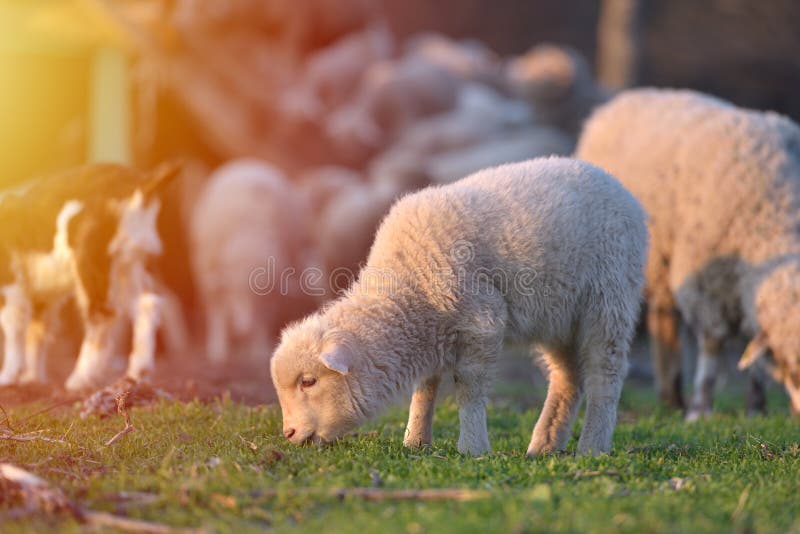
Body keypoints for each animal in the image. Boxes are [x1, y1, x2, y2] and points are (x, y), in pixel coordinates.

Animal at [190, 159, 323, 364]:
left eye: (258, 298)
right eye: (234, 292)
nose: (242, 329)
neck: (248, 235)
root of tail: (248, 164)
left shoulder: (271, 292)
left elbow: (263, 317)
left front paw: (258, 348)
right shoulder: (210, 274)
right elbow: (217, 312)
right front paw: (218, 349)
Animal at [271, 157, 647, 456]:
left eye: (308, 381)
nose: (289, 433)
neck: (408, 284)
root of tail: (620, 188)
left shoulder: (481, 321)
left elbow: (469, 389)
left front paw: (472, 448)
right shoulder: (431, 330)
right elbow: (425, 388)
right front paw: (415, 441)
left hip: (609, 296)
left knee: (606, 371)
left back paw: (592, 447)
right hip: (558, 317)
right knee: (568, 378)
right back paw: (544, 444)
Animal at [575, 88, 800, 418]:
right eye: (791, 366)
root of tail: (628, 97)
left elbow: (753, 352)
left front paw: (755, 408)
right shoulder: (705, 279)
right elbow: (712, 343)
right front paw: (701, 409)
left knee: (662, 315)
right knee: (665, 320)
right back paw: (673, 400)